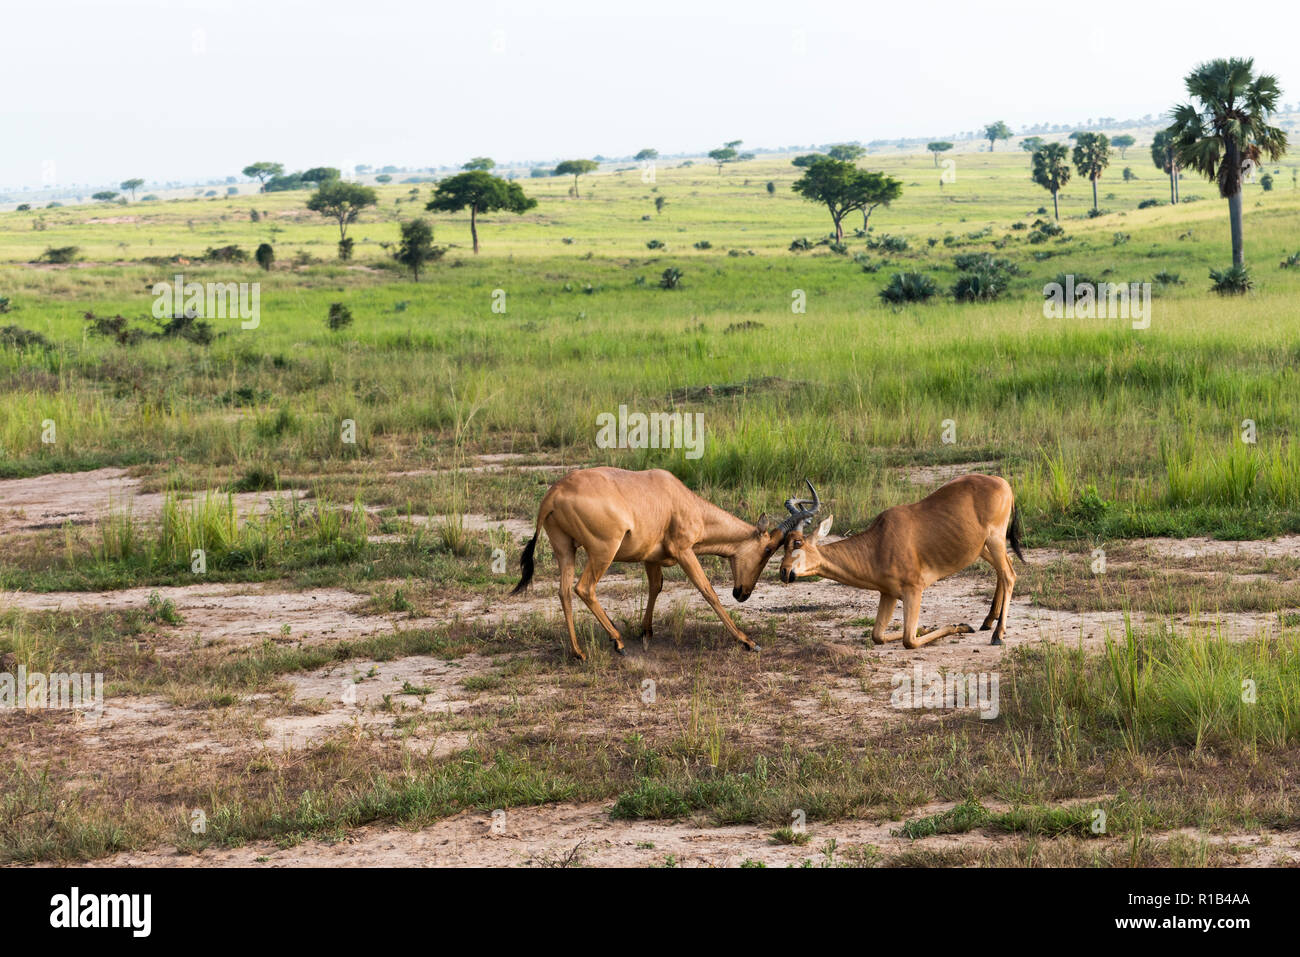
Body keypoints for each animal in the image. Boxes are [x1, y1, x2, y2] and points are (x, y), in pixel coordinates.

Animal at [512, 467, 815, 660]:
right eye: (768, 548)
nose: (742, 593)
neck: (674, 494)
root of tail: (554, 493)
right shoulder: (684, 551)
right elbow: (708, 591)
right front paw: (748, 641)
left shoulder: (651, 557)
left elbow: (656, 587)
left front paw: (646, 633)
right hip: (603, 551)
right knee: (583, 588)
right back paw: (617, 642)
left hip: (565, 550)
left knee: (564, 591)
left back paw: (578, 652)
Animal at [778, 474, 1025, 648]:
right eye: (783, 543)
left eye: (798, 542)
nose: (784, 572)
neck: (879, 542)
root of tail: (1003, 483)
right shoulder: (887, 594)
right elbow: (878, 635)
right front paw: (926, 627)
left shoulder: (914, 591)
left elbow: (909, 640)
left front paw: (960, 626)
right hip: (982, 548)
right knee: (1004, 570)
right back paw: (987, 621)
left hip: (994, 540)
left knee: (1009, 575)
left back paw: (997, 635)